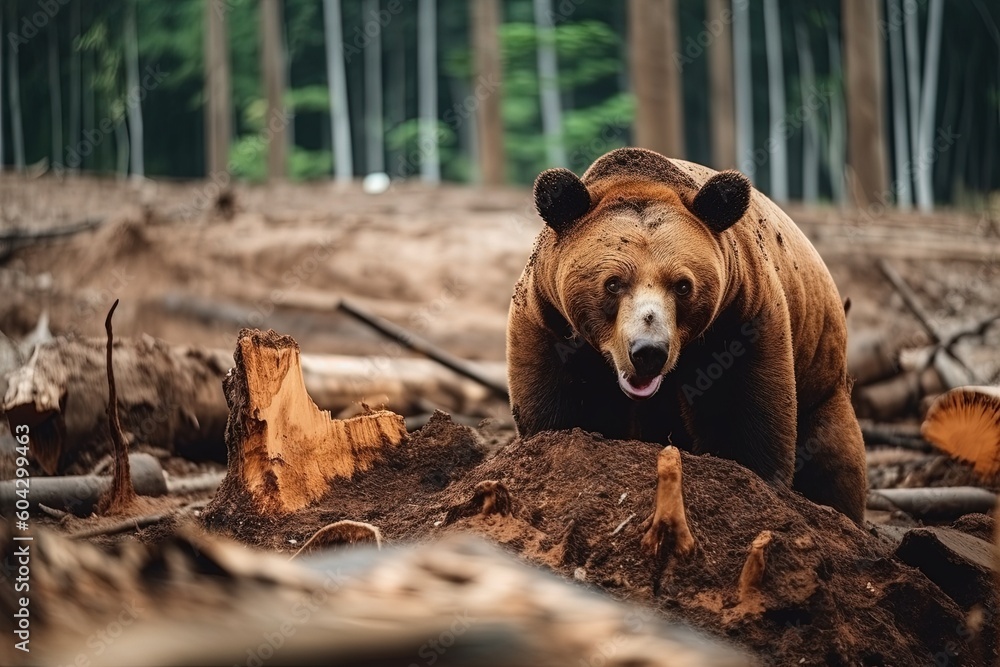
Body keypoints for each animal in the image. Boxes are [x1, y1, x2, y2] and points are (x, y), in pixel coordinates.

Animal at [506, 147, 867, 523]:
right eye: (613, 283)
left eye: (682, 285)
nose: (648, 351)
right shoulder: (550, 321)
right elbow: (562, 407)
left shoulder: (739, 317)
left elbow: (741, 415)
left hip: (820, 370)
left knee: (832, 455)